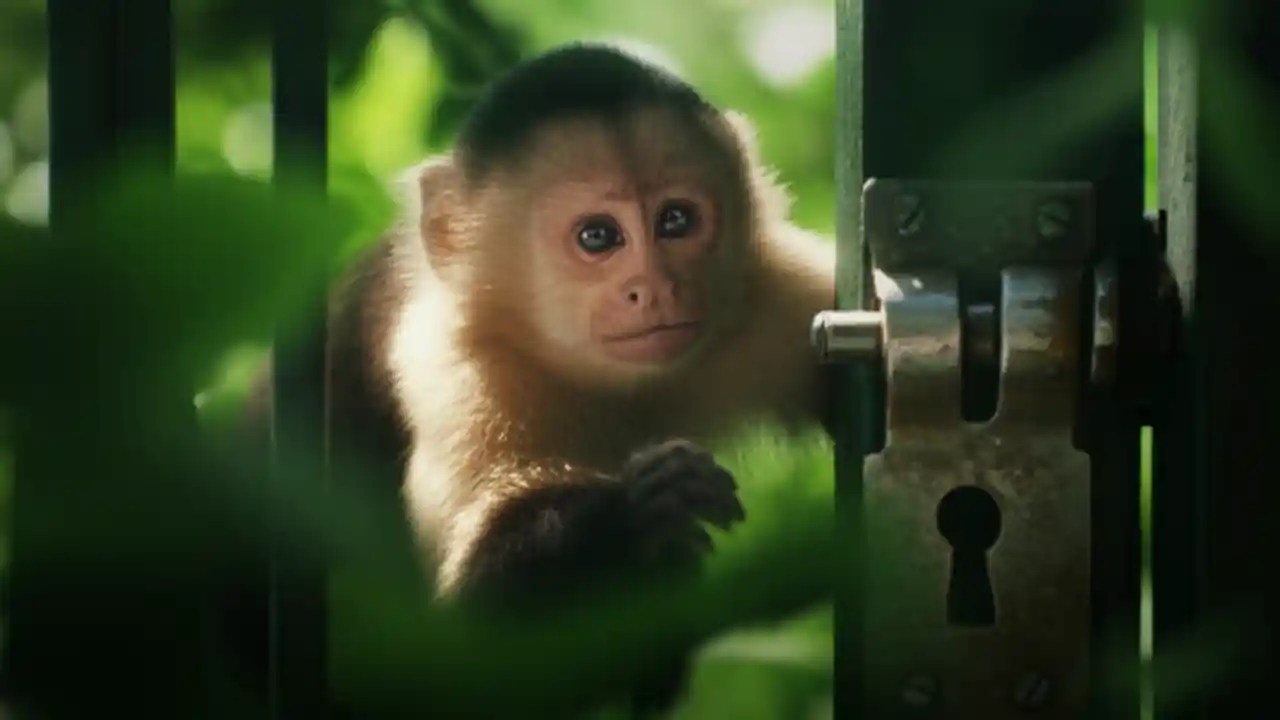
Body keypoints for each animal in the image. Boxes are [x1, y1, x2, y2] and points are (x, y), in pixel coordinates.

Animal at [305, 42, 836, 715]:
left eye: (676, 220)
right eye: (598, 236)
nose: (655, 288)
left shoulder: (774, 300)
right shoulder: (459, 369)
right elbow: (465, 654)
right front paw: (634, 508)